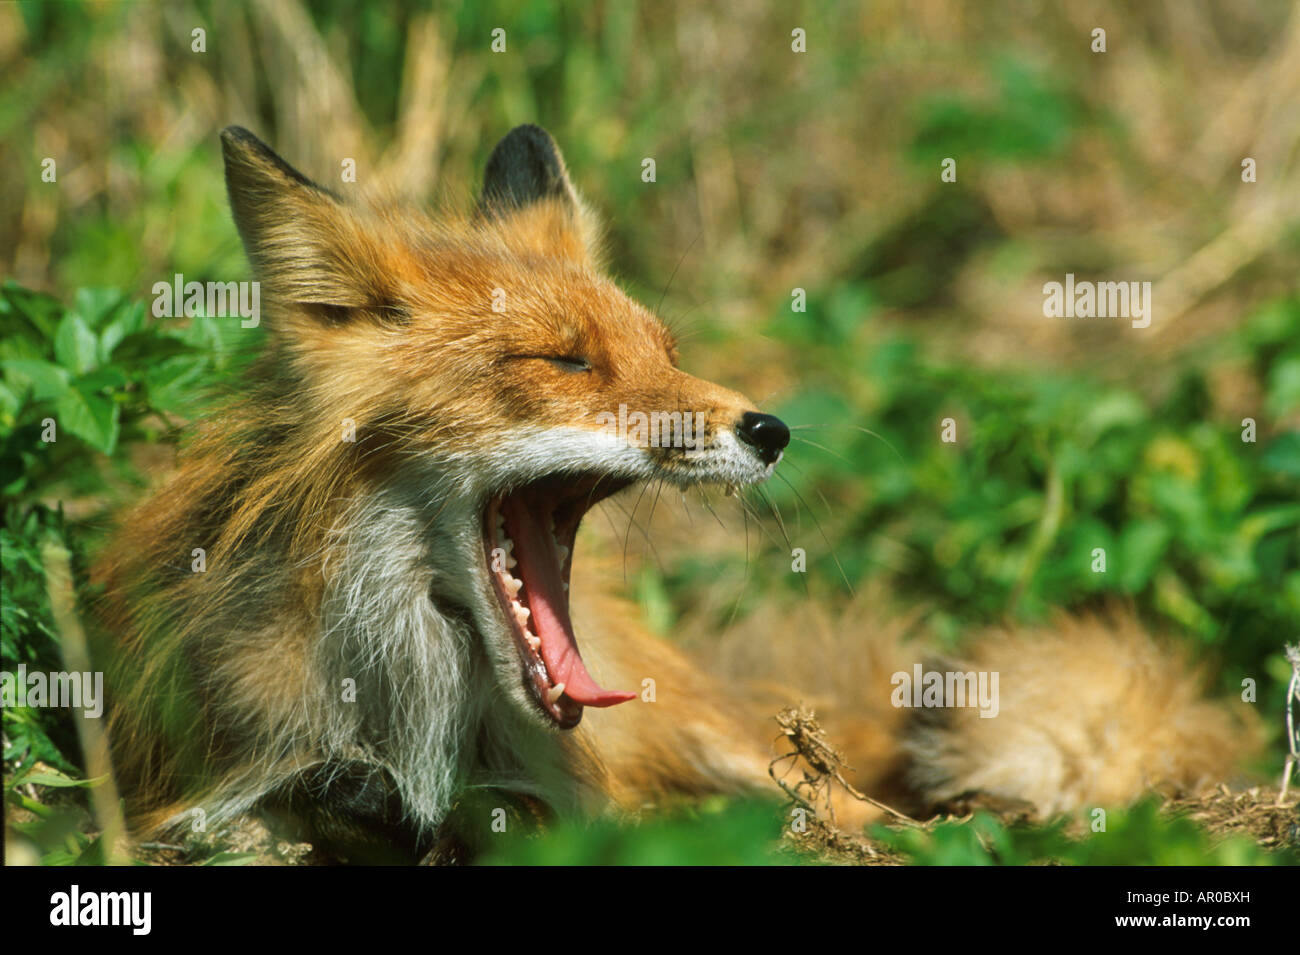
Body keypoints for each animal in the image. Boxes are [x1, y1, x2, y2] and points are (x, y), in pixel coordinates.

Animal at [90, 124, 1257, 863]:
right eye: (566, 361)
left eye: (664, 351)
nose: (768, 429)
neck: (407, 685)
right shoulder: (193, 785)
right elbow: (249, 821)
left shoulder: (574, 798)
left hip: (714, 737)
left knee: (864, 810)